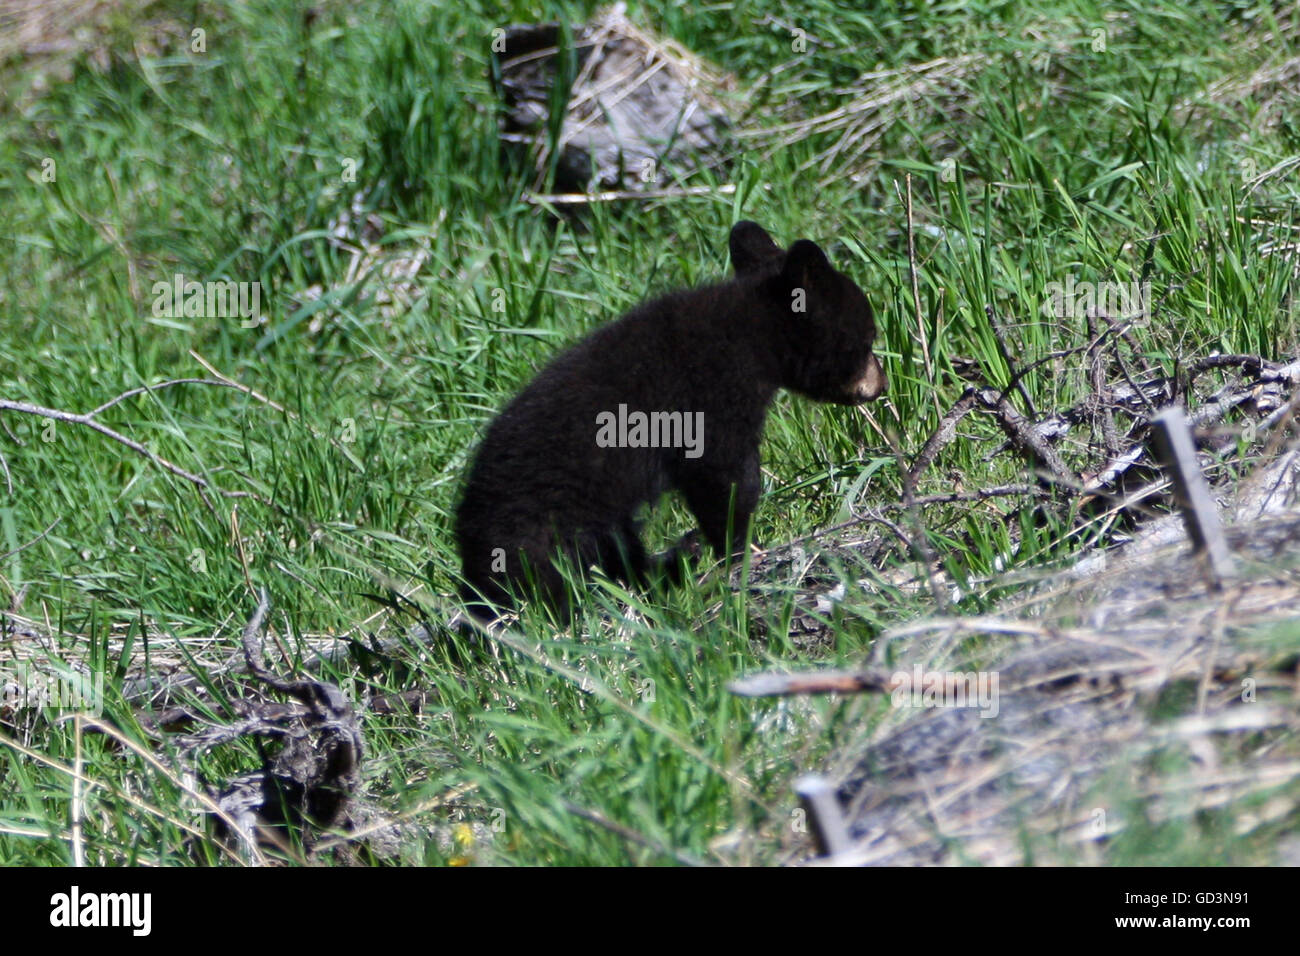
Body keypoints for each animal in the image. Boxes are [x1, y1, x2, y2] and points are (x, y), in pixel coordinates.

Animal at [455, 221, 886, 621]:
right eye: (868, 339)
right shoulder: (712, 397)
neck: (750, 333)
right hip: (543, 525)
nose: (880, 385)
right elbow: (725, 477)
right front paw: (744, 548)